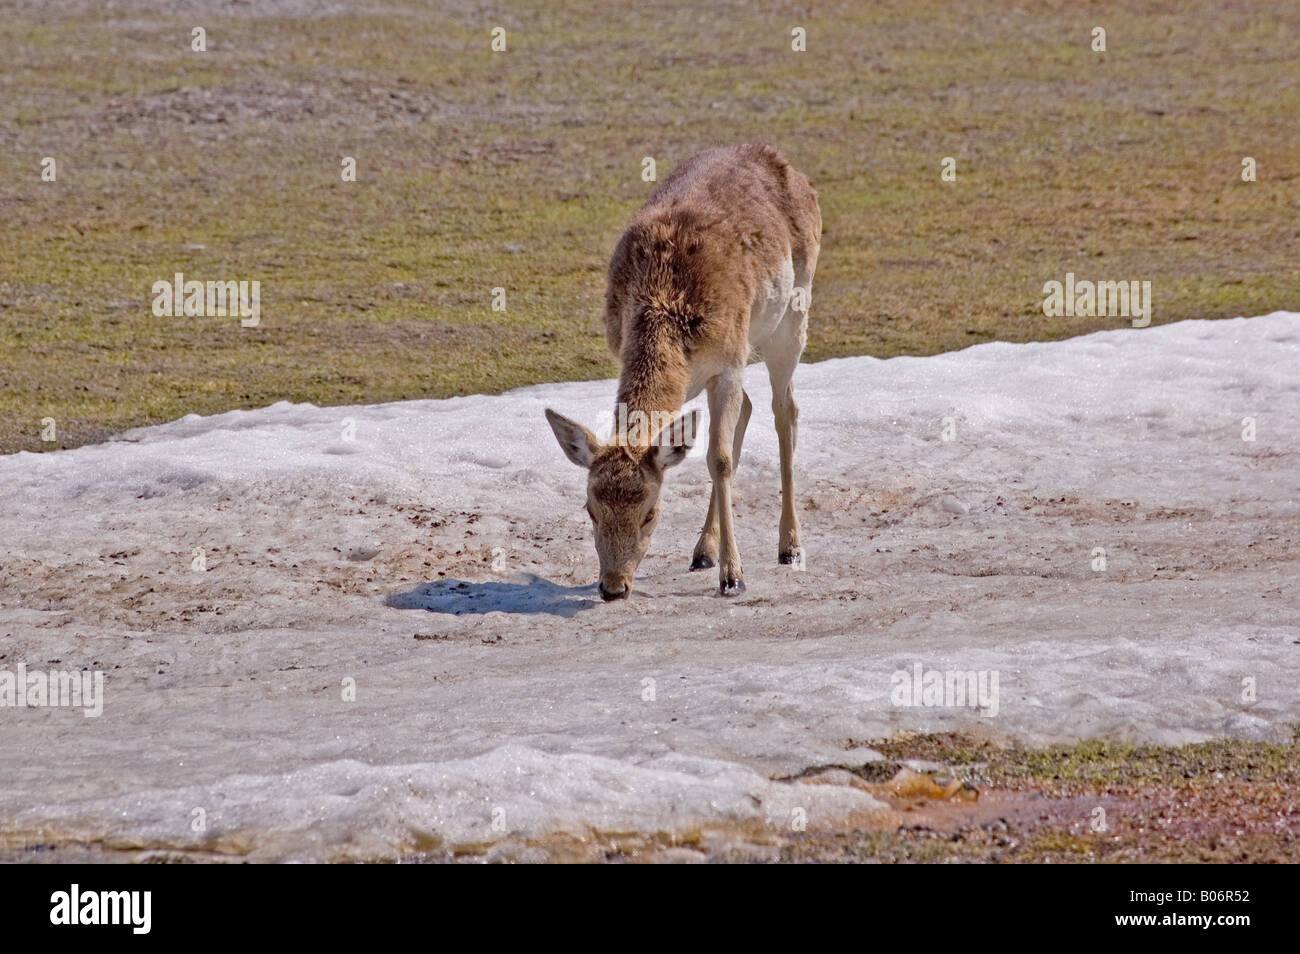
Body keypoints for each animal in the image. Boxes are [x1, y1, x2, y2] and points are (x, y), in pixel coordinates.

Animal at [545, 144, 821, 600]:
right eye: (590, 510)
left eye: (651, 512)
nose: (613, 587)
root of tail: (784, 163)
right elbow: (714, 449)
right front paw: (713, 558)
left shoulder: (728, 363)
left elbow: (719, 459)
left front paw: (733, 577)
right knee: (750, 406)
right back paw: (702, 552)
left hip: (793, 315)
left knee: (786, 409)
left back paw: (791, 547)